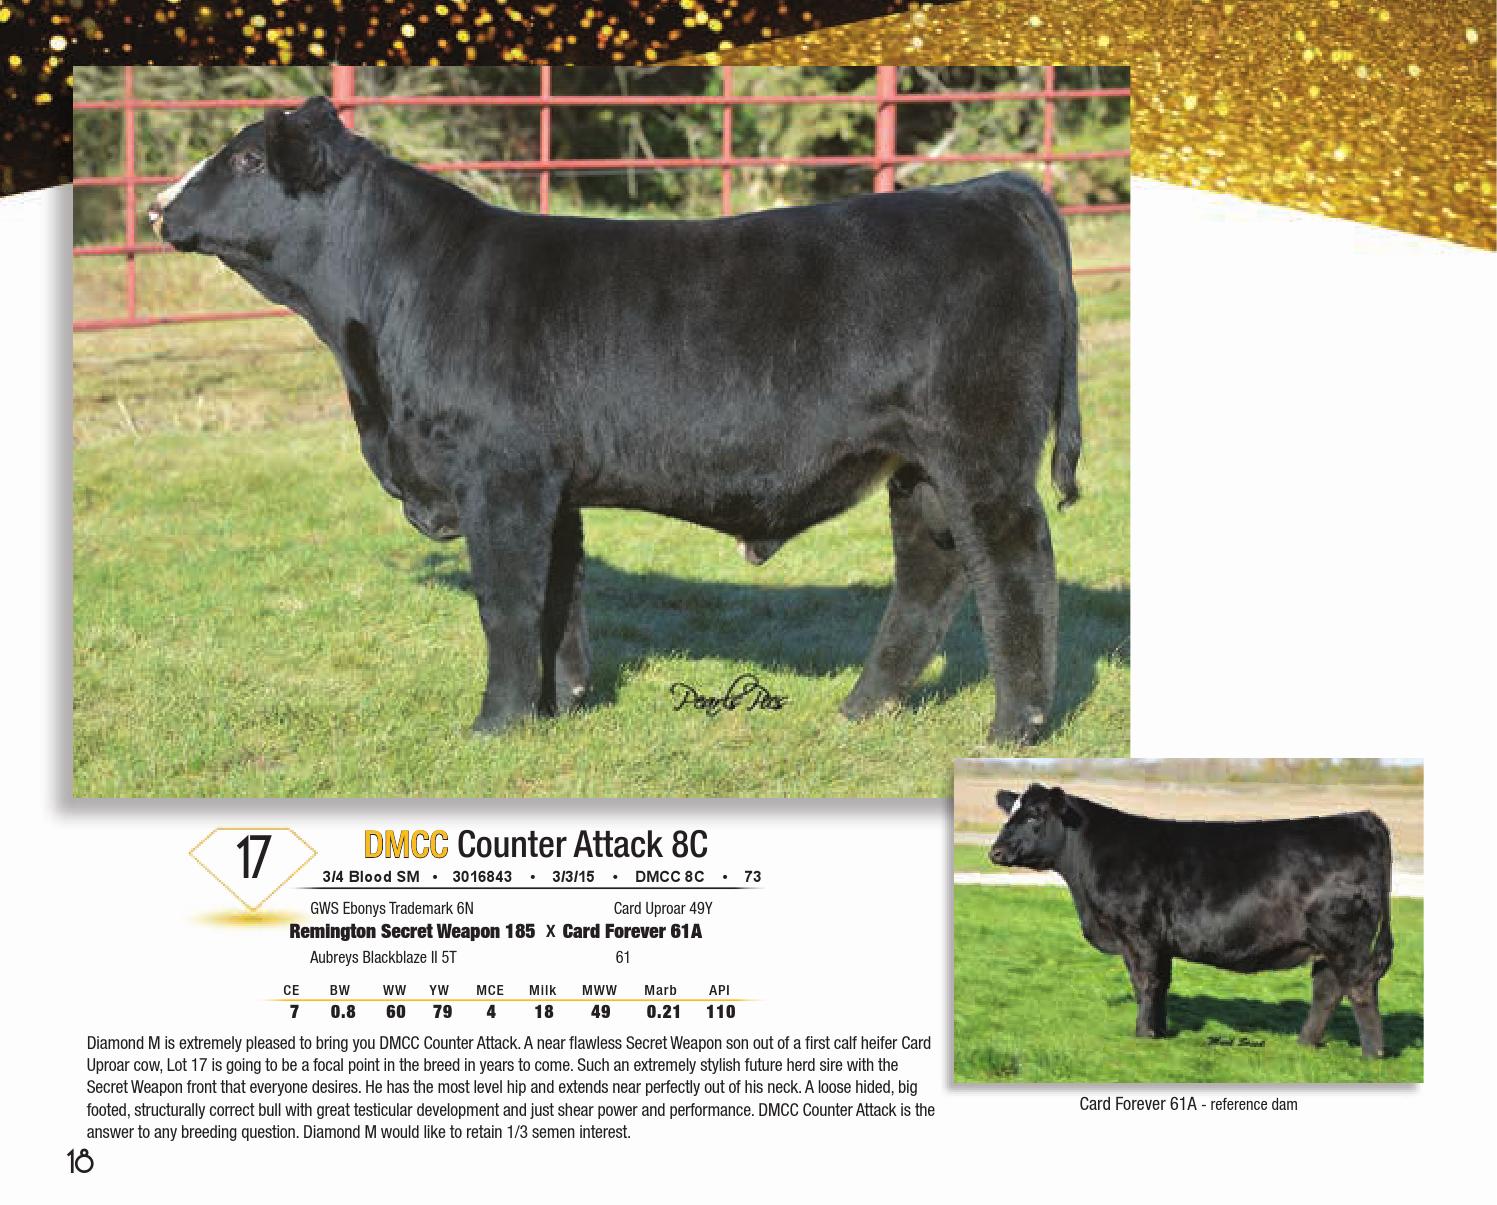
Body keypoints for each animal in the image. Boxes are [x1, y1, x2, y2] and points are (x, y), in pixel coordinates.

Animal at [147, 96, 1082, 742]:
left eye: (243, 158)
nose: (157, 205)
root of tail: (987, 190)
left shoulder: (500, 476)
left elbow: (506, 602)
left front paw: (493, 724)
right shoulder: (552, 486)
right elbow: (558, 600)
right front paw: (557, 707)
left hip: (980, 451)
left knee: (1015, 566)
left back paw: (1015, 726)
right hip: (918, 467)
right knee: (931, 571)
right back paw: (861, 709)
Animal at [989, 783, 1394, 1057]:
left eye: (1035, 815)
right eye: (1011, 814)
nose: (996, 851)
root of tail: (1361, 818)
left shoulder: (1138, 934)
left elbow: (1145, 983)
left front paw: (1143, 1035)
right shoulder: (1159, 942)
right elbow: (1160, 985)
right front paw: (1160, 1032)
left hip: (1346, 941)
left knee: (1360, 989)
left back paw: (1372, 1055)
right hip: (1324, 945)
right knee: (1327, 990)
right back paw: (1305, 1044)